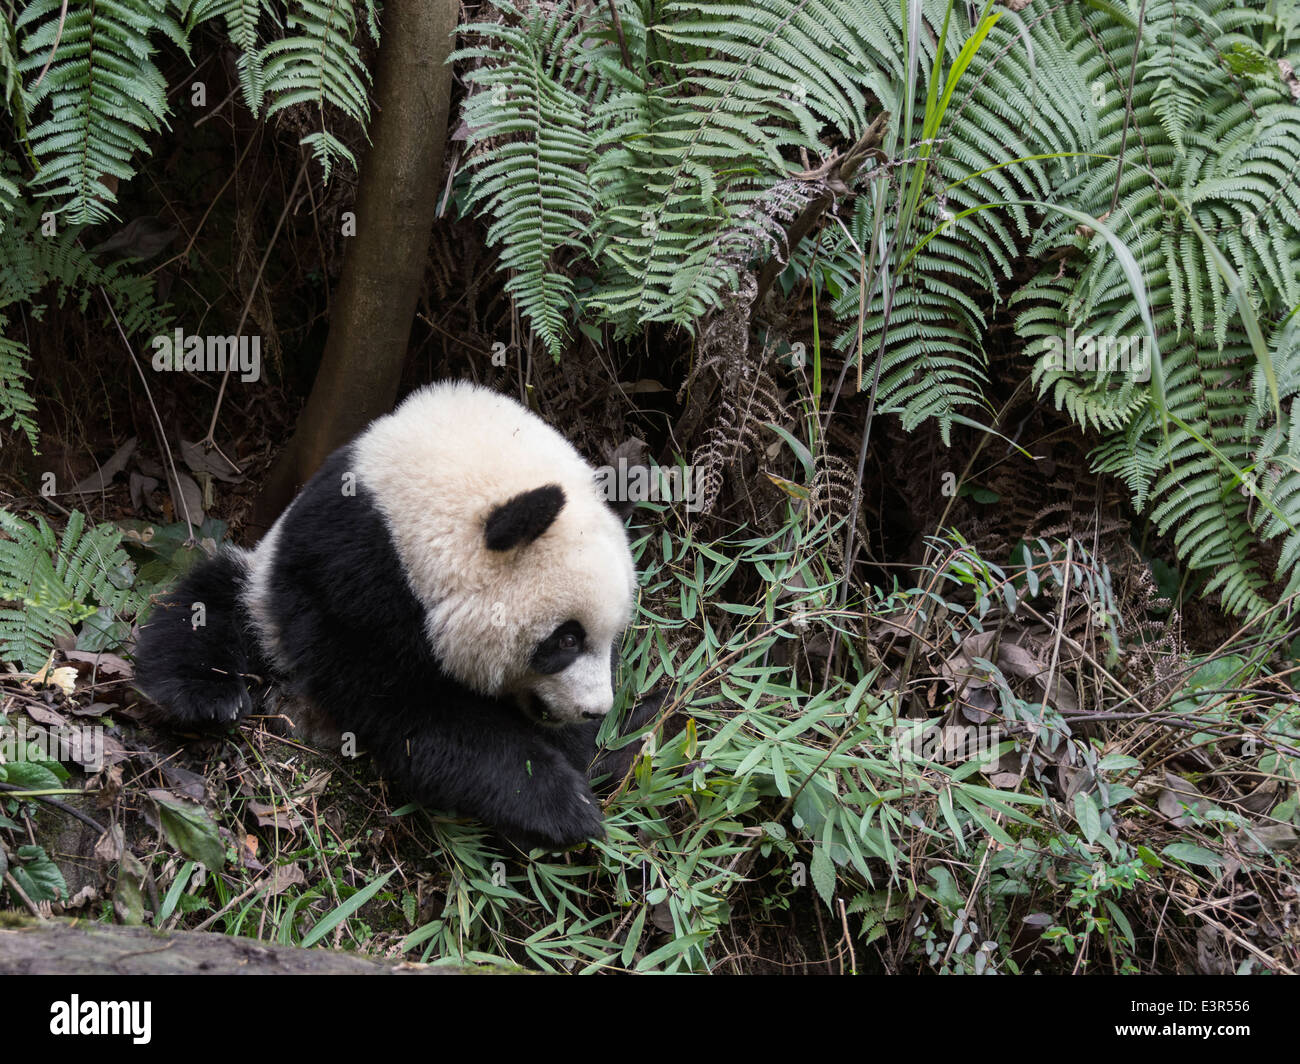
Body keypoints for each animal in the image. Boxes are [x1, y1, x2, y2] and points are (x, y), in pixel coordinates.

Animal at [133, 381, 660, 850]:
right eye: (566, 639)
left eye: (611, 639)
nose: (597, 710)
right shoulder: (352, 569)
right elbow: (406, 708)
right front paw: (558, 804)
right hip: (263, 600)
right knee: (207, 608)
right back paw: (205, 695)